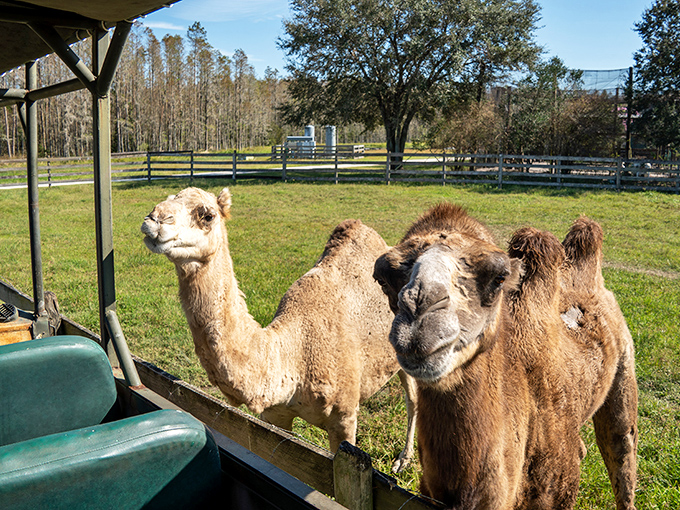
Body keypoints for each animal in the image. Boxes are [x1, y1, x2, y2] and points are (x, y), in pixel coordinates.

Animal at [141, 187, 416, 472]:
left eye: (207, 215)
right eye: (168, 198)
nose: (155, 218)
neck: (295, 357)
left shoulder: (345, 416)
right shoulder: (275, 414)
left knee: (413, 397)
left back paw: (402, 461)